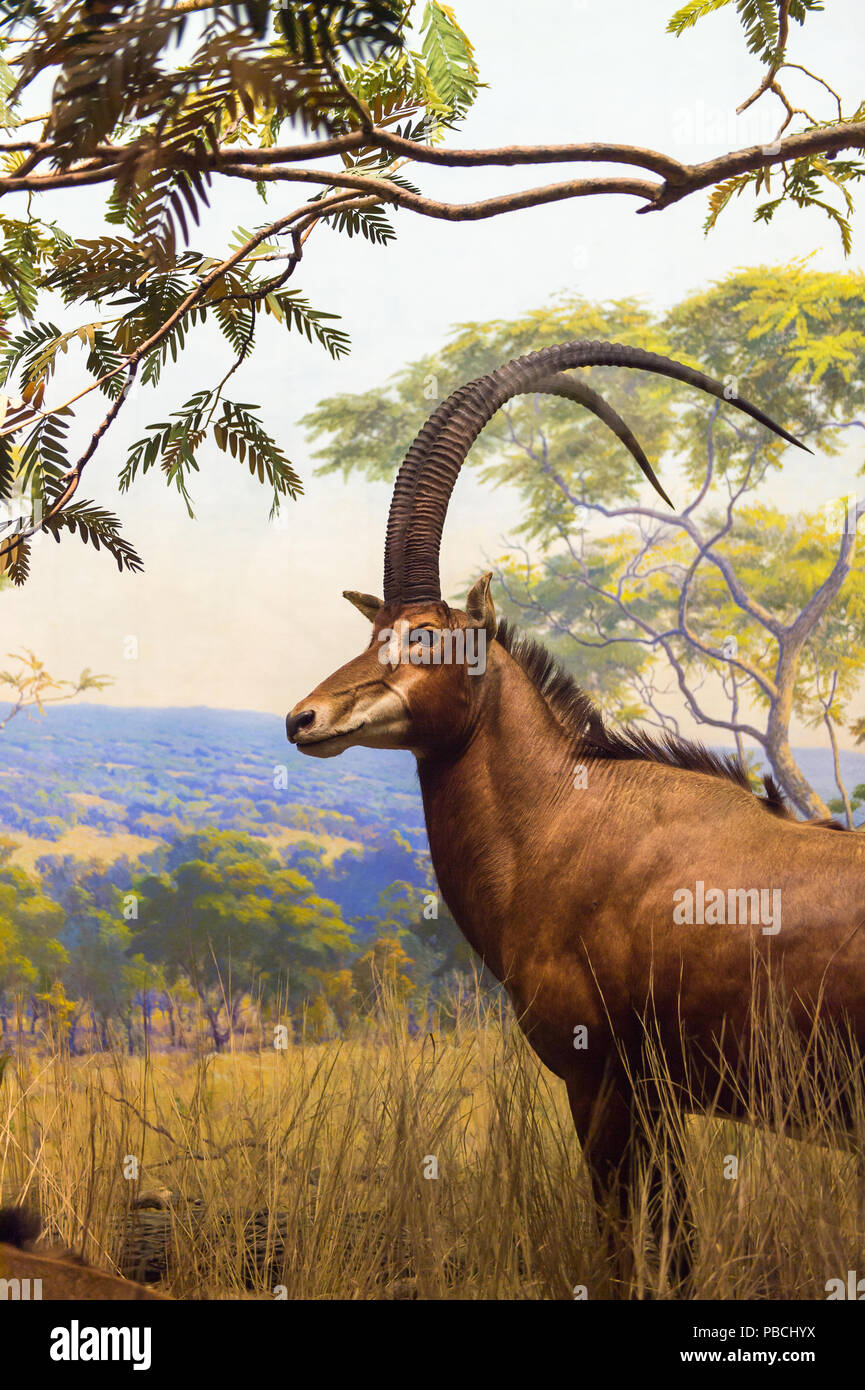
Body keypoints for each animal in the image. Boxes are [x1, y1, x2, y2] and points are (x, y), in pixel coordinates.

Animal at [287, 341, 865, 1283]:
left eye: (427, 636)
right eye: (375, 634)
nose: (304, 720)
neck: (568, 822)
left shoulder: (601, 1087)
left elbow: (625, 1250)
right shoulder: (659, 1103)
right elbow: (676, 1249)